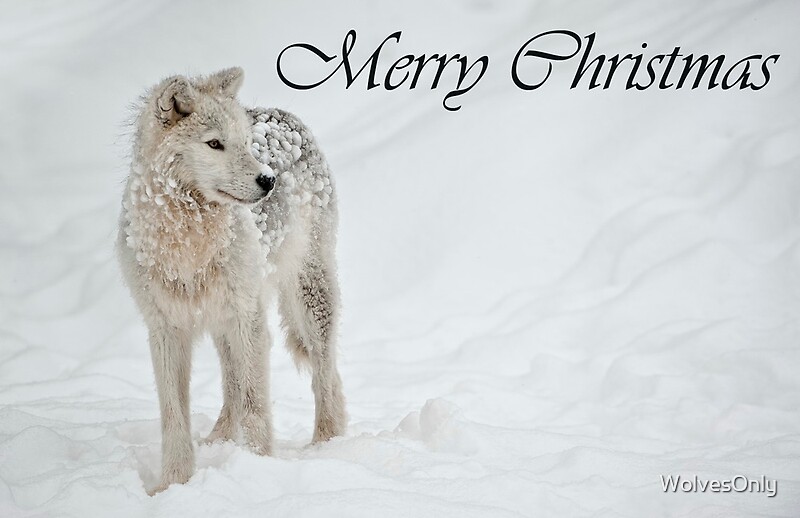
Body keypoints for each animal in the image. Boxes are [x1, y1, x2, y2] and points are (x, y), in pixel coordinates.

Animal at [117, 67, 346, 494]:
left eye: (243, 142)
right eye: (215, 144)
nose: (268, 180)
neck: (188, 237)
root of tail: (283, 113)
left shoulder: (247, 318)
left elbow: (256, 406)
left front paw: (259, 471)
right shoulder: (165, 329)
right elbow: (174, 417)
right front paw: (172, 484)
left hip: (306, 296)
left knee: (326, 373)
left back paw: (328, 441)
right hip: (226, 323)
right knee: (232, 385)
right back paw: (219, 440)